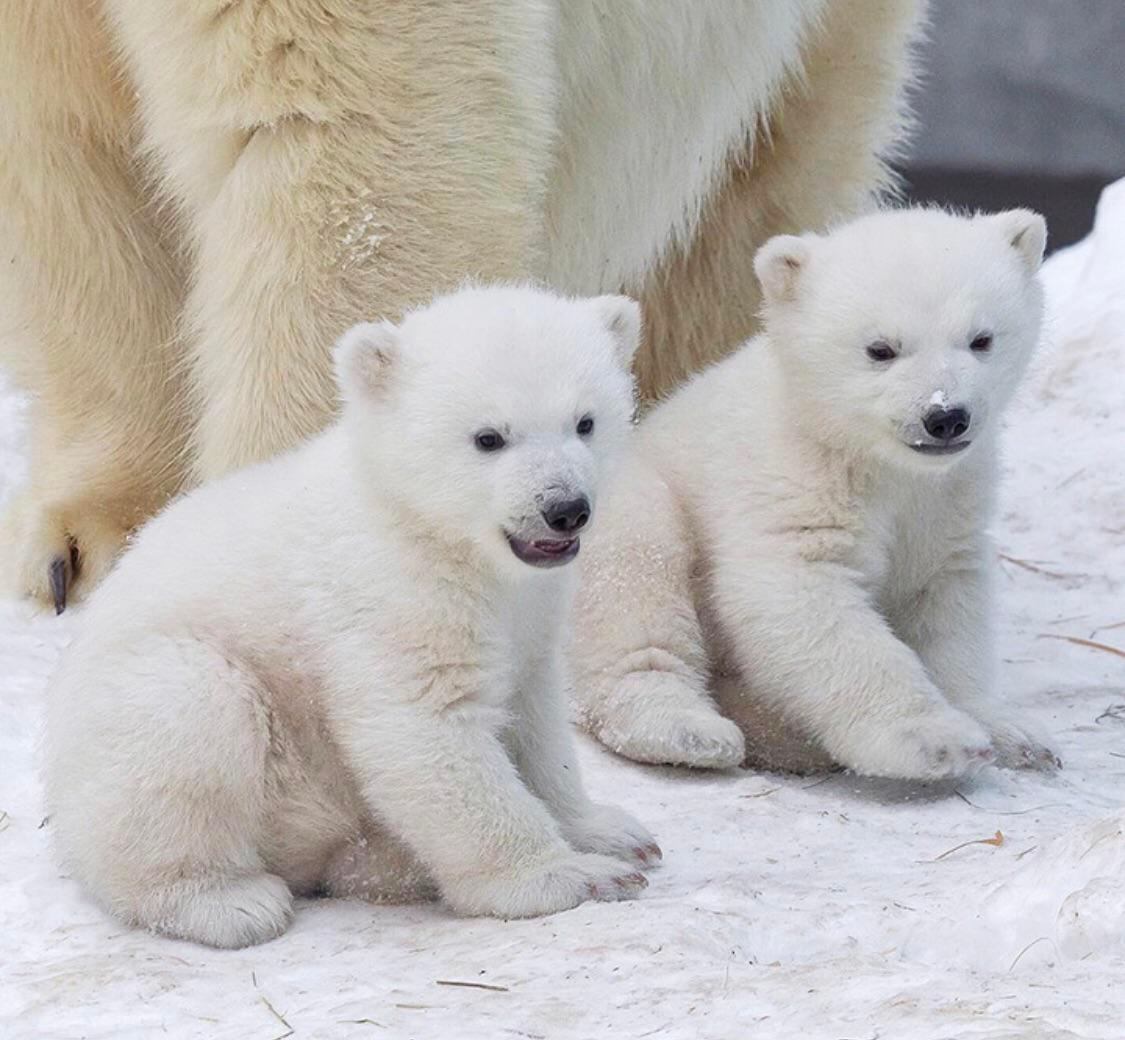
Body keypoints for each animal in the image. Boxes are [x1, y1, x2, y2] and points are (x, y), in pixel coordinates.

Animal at [42, 285, 658, 949]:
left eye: (586, 421)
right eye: (489, 437)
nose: (565, 508)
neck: (431, 530)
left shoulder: (532, 612)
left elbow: (535, 720)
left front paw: (611, 831)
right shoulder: (391, 595)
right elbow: (425, 727)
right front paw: (569, 877)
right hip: (164, 716)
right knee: (189, 718)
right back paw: (228, 901)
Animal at [571, 208, 1061, 781]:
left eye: (981, 339)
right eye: (881, 349)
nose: (945, 416)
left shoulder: (947, 499)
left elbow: (946, 601)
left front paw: (1009, 733)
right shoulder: (791, 475)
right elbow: (799, 591)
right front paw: (935, 740)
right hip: (627, 496)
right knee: (636, 575)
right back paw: (689, 730)